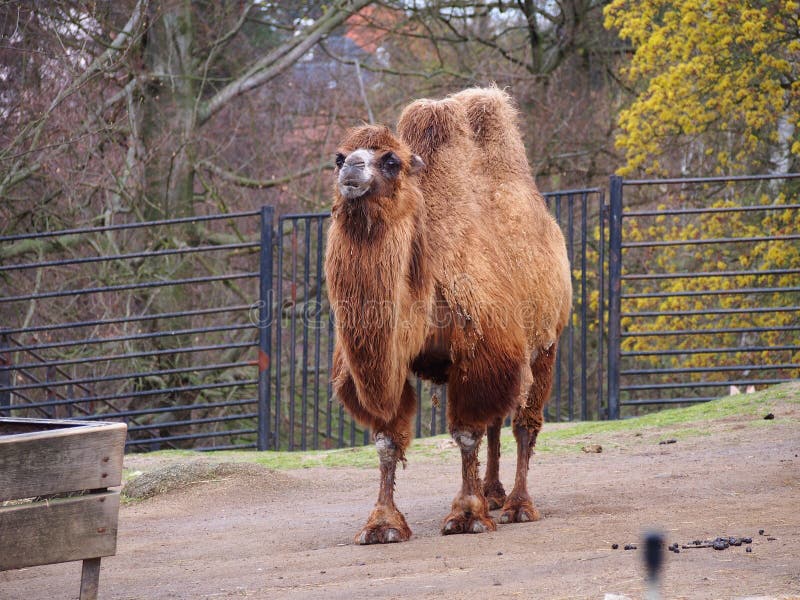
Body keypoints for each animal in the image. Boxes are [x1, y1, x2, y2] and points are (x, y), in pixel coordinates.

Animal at [324, 86, 572, 544]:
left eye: (391, 161)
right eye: (338, 156)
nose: (351, 168)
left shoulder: (482, 351)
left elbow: (466, 432)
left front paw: (467, 515)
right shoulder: (390, 365)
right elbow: (387, 441)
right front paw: (382, 524)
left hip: (545, 341)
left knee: (524, 423)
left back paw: (517, 506)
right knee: (497, 422)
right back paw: (493, 493)